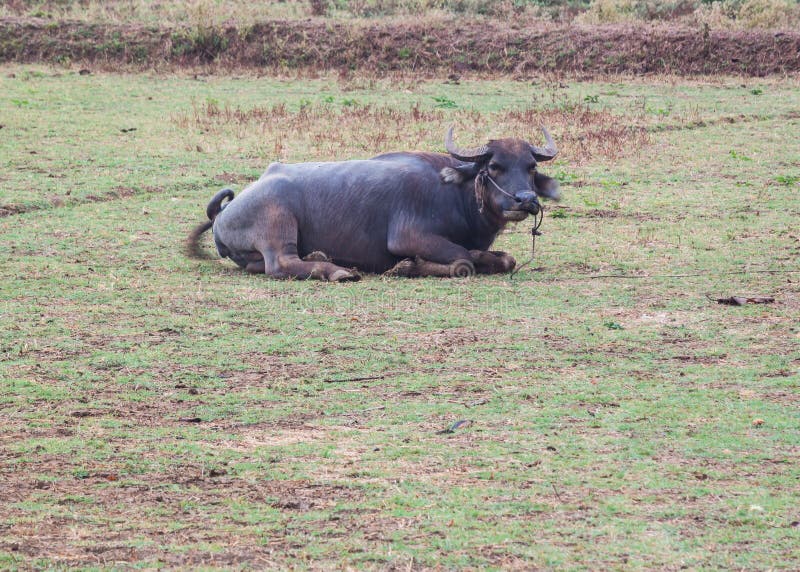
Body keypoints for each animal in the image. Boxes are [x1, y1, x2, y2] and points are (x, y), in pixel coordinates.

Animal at [187, 127, 560, 281]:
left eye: (531, 166)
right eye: (494, 166)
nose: (525, 200)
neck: (455, 194)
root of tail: (223, 213)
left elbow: (506, 259)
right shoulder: (409, 236)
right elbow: (462, 258)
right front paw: (410, 266)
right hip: (277, 224)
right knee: (280, 264)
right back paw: (336, 271)